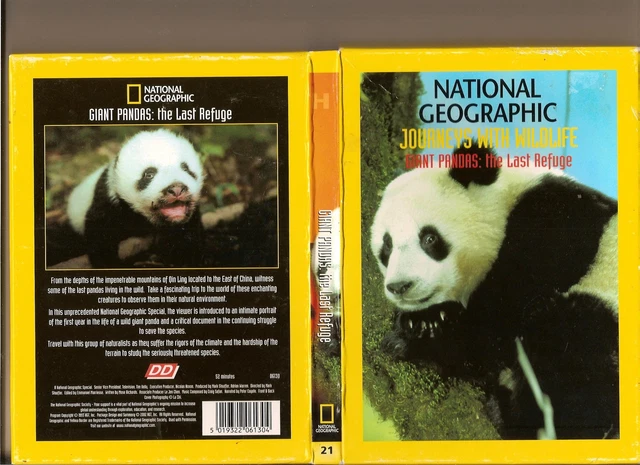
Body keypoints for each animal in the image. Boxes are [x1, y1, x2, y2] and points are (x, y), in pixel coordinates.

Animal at [371, 142, 619, 440]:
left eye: (429, 238)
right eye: (387, 246)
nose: (400, 286)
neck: (504, 203)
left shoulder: (553, 230)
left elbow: (498, 327)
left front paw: (421, 334)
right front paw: (422, 321)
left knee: (570, 339)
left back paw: (514, 419)